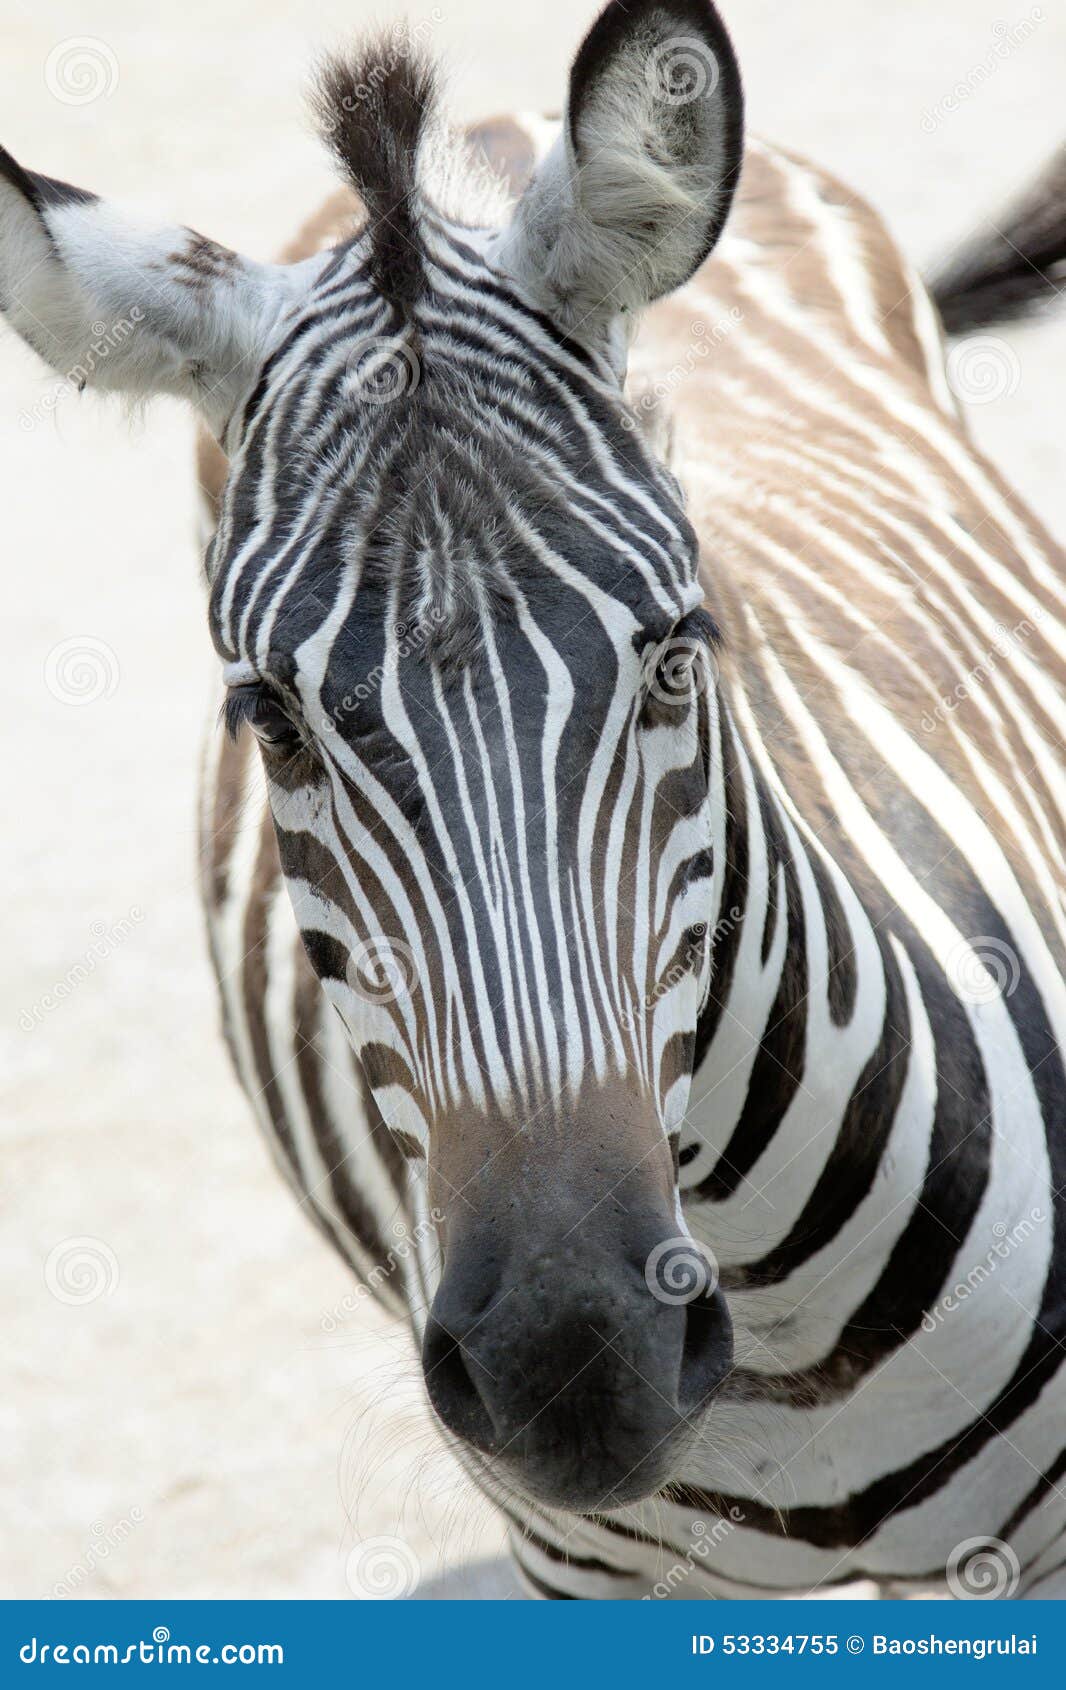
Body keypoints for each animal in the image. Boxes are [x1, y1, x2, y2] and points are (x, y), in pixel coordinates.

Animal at [3, 0, 1066, 1602]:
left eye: (678, 656)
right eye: (273, 723)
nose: (575, 1364)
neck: (779, 1324)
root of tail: (491, 129)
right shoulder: (580, 1573)